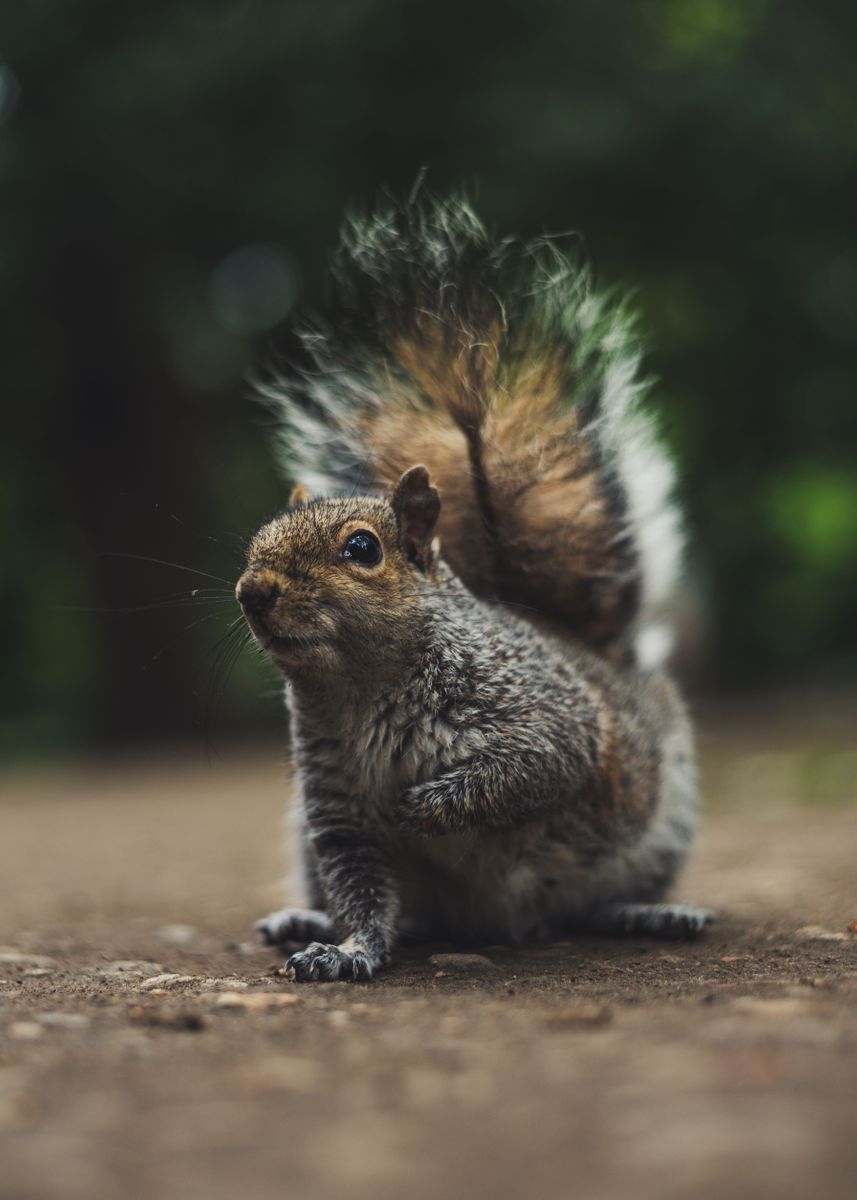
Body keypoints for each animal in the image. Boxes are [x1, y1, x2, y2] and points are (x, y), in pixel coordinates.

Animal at [237, 192, 712, 982]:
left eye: (362, 549)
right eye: (253, 540)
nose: (252, 592)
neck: (363, 690)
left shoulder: (548, 717)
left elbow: (531, 768)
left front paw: (428, 807)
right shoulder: (334, 813)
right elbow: (363, 894)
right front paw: (346, 950)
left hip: (658, 820)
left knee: (594, 903)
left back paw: (648, 912)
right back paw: (304, 916)